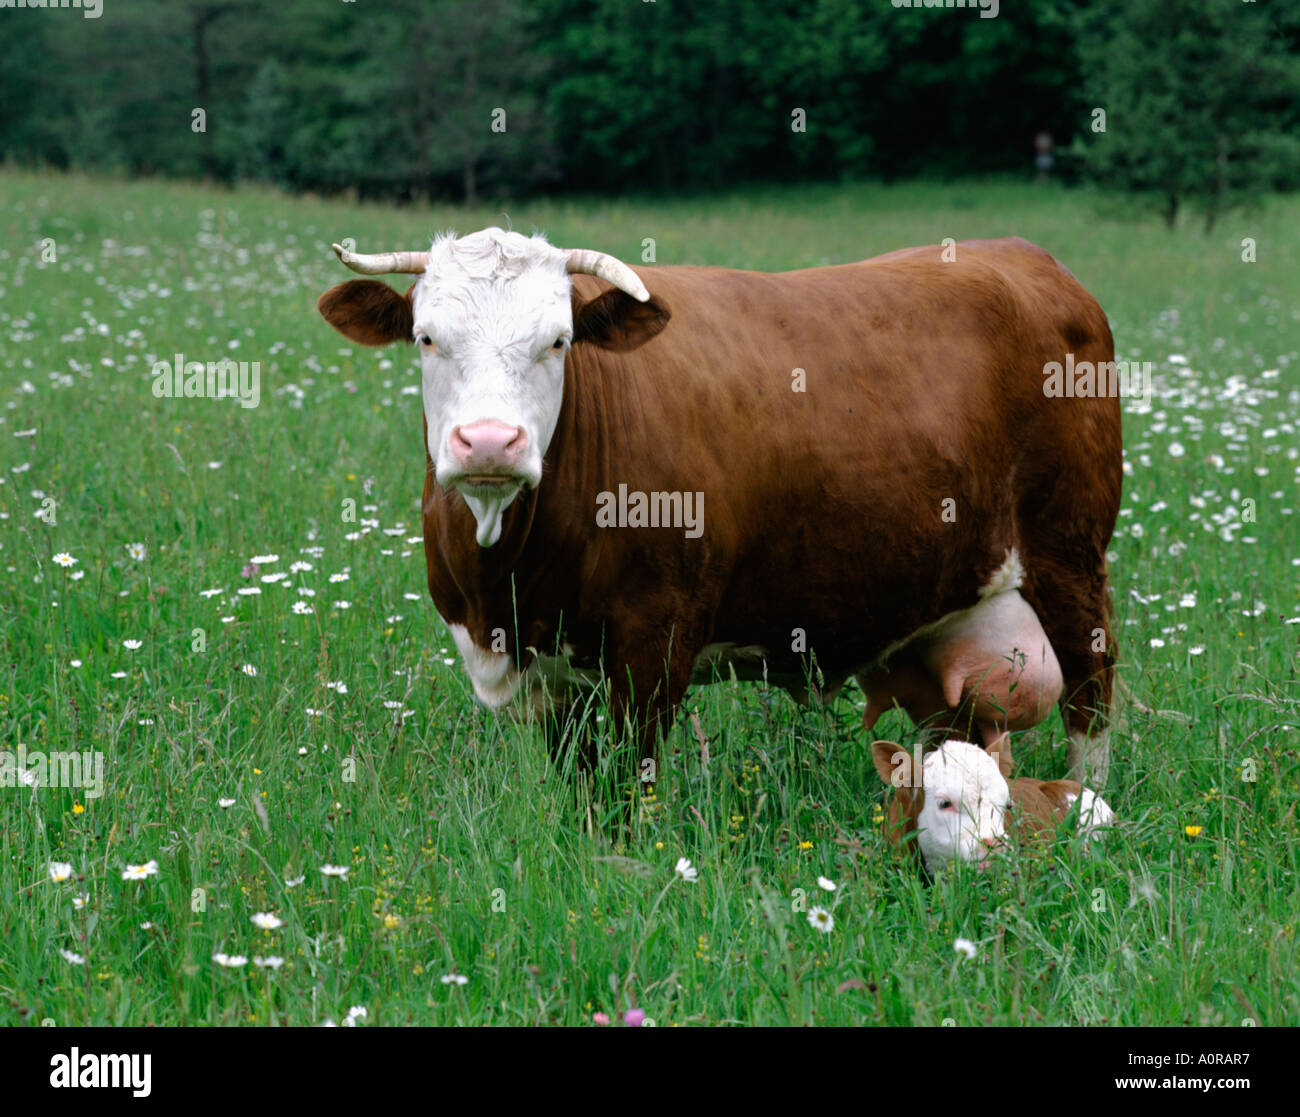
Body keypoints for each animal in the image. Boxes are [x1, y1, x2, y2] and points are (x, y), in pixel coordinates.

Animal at [316, 228, 1122, 787]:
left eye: (559, 341)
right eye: (427, 337)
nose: (489, 441)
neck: (505, 589)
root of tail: (1020, 254)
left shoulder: (654, 642)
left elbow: (626, 787)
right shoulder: (552, 679)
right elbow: (578, 783)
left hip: (1070, 558)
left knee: (1091, 695)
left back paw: (1085, 820)